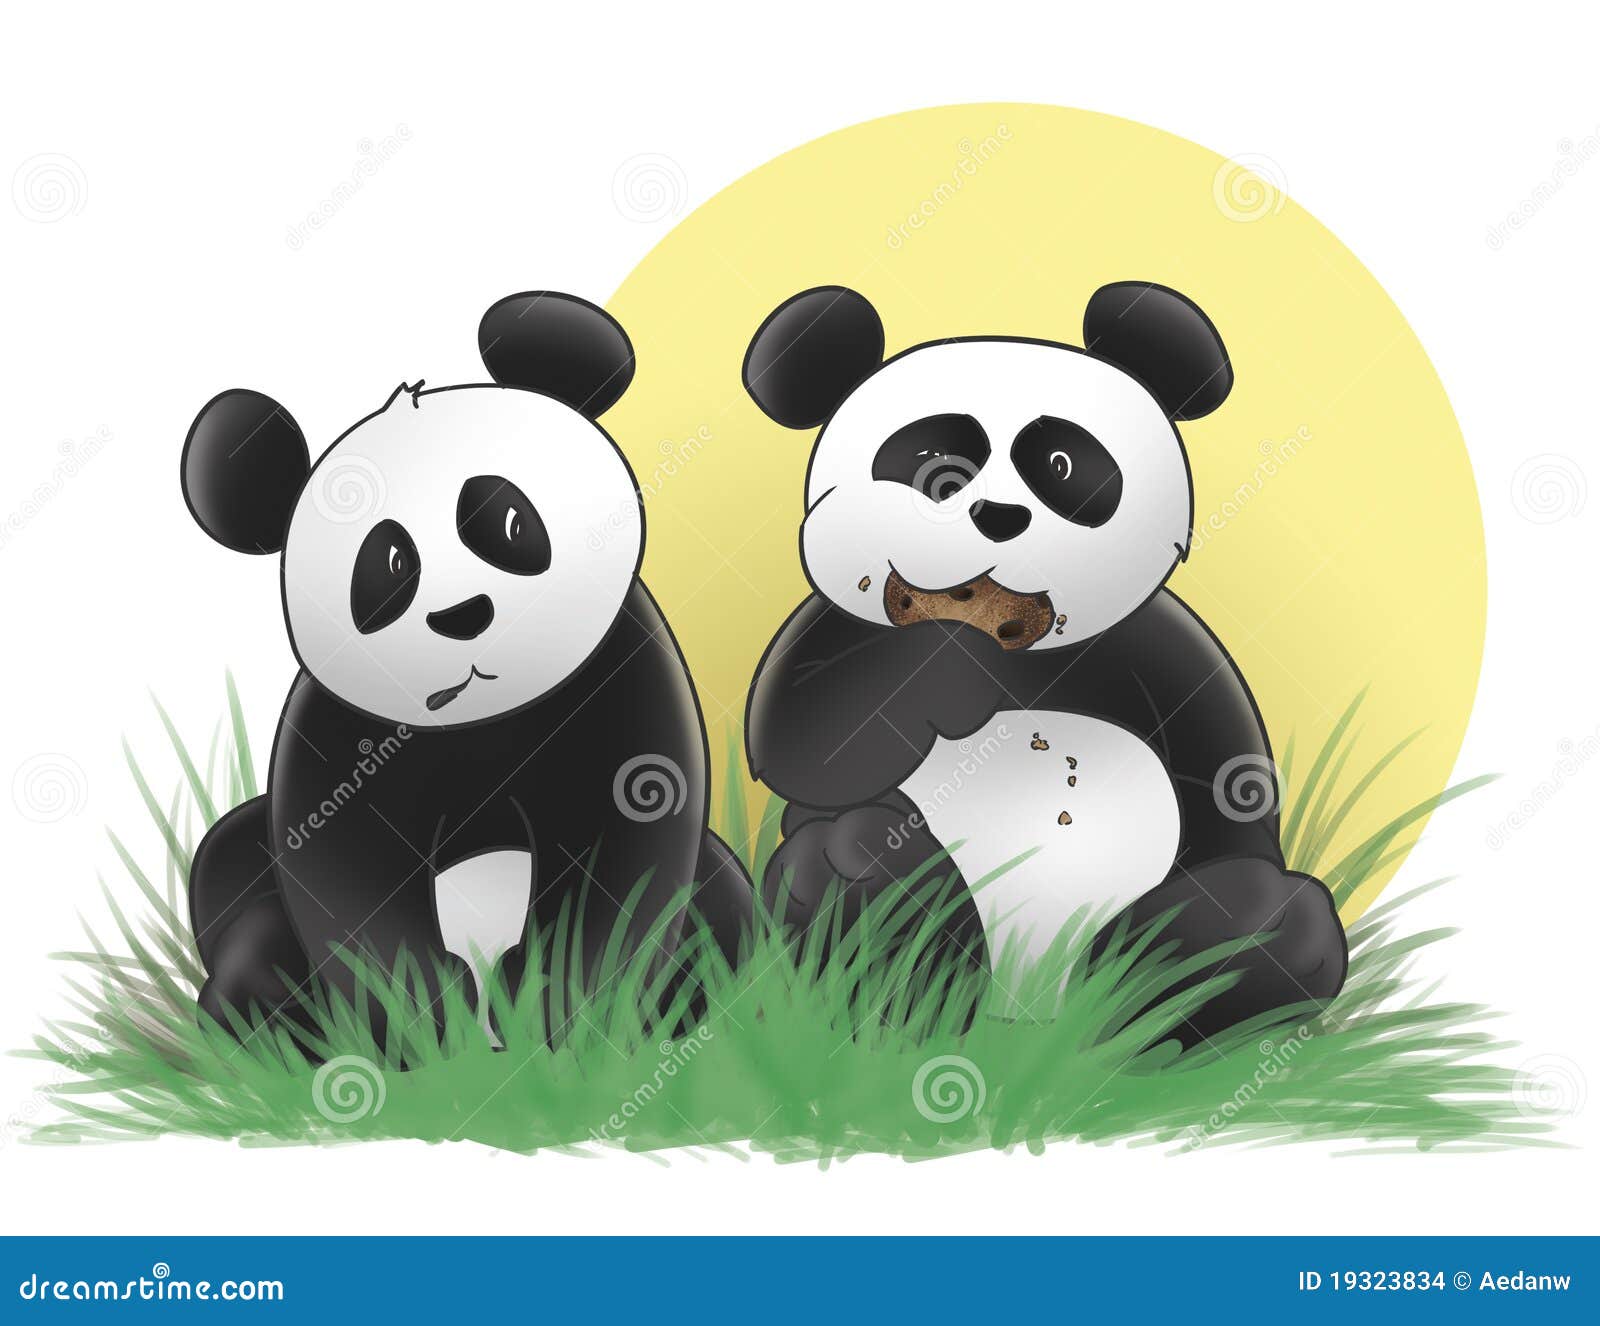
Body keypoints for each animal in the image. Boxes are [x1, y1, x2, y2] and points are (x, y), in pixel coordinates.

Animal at [180, 291, 750, 1041]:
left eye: (509, 520)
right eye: (389, 565)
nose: (462, 616)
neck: (486, 720)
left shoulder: (613, 673)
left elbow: (628, 845)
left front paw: (565, 1015)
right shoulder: (344, 728)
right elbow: (344, 877)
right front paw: (431, 1025)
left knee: (725, 904)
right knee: (233, 862)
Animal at [742, 282, 1346, 1044]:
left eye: (1061, 464)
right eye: (932, 463)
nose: (999, 516)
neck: (1017, 658)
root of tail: (1027, 1011)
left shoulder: (1155, 648)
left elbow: (1233, 777)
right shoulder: (832, 627)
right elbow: (806, 739)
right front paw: (941, 673)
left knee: (1258, 925)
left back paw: (1149, 1028)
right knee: (855, 867)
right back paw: (909, 1013)